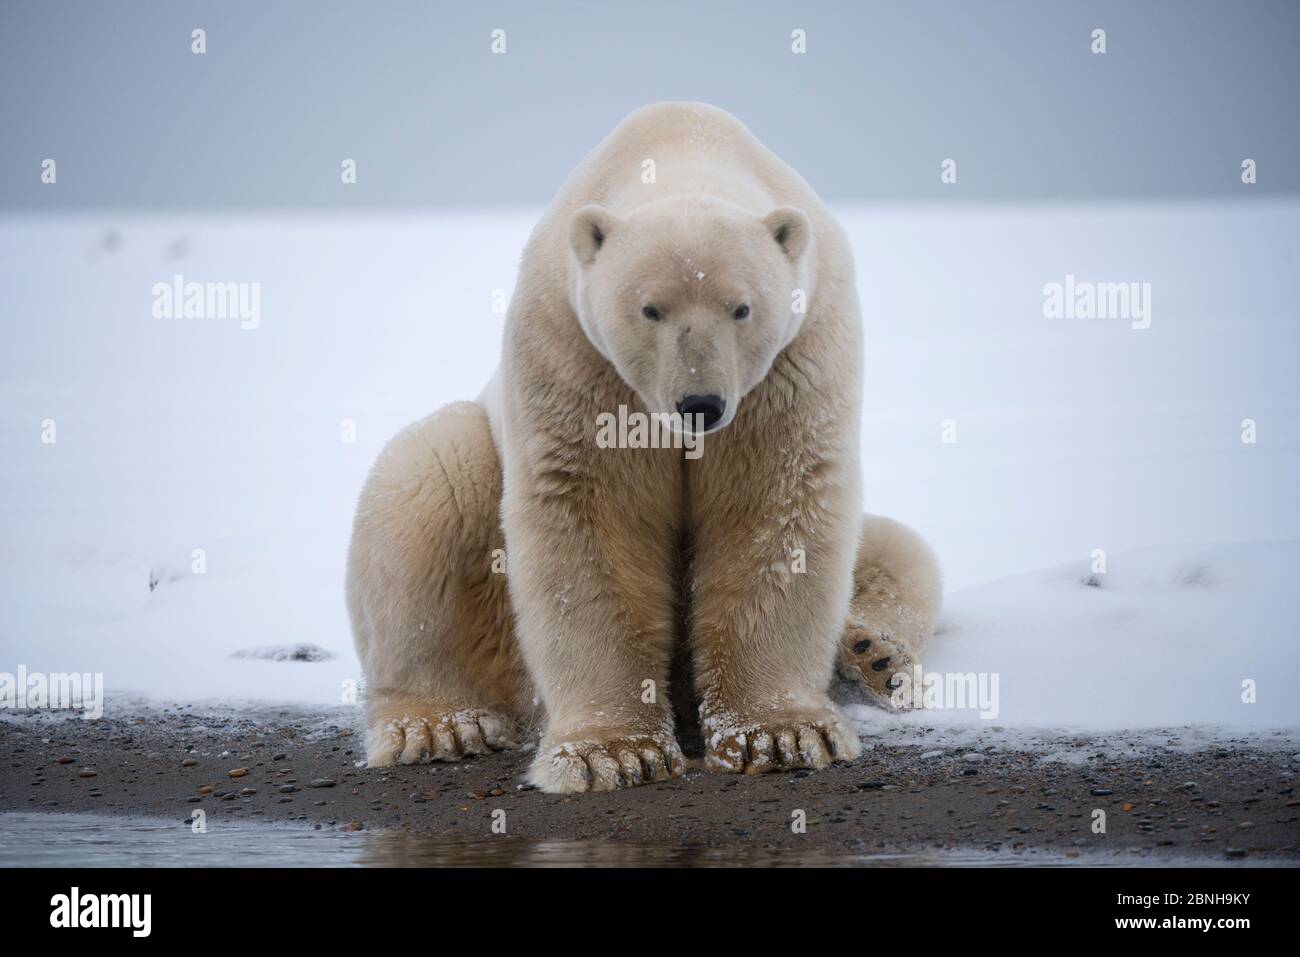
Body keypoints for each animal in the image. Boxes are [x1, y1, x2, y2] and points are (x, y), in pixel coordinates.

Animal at [346, 102, 942, 793]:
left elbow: (778, 506)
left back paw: (878, 658)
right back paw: (437, 725)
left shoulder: (796, 357)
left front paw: (782, 734)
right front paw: (612, 752)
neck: (682, 147)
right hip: (470, 478)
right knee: (424, 486)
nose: (700, 404)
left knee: (901, 548)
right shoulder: (575, 353)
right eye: (649, 309)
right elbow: (591, 521)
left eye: (742, 307)